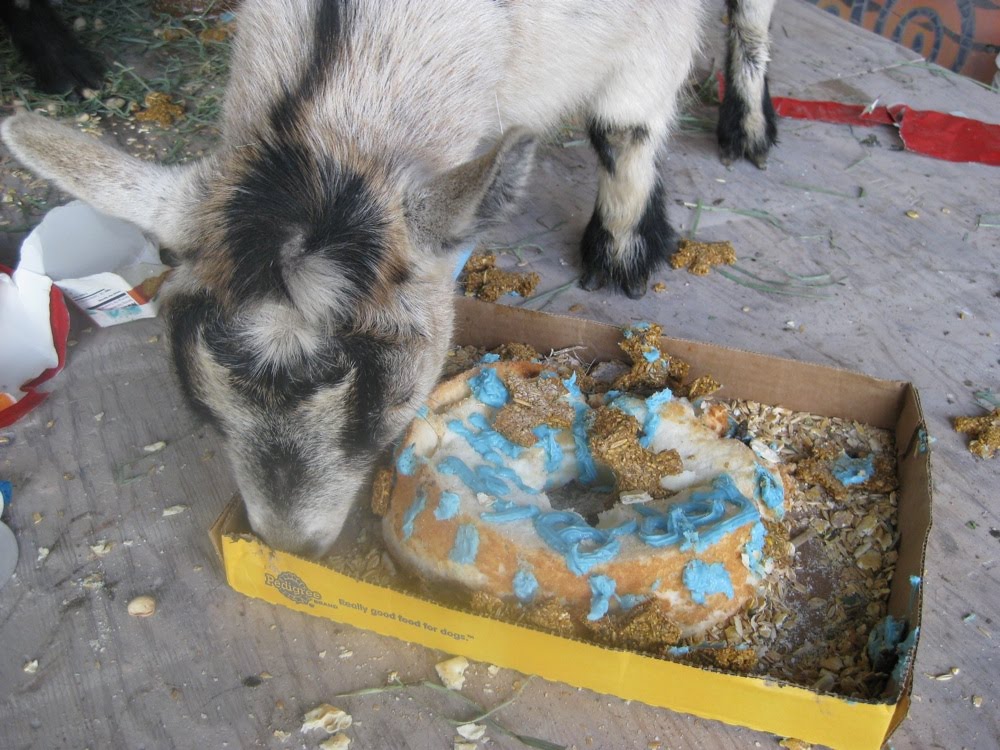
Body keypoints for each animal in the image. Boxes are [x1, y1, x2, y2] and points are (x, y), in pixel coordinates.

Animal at [1, 0, 777, 557]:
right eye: (201, 408)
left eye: (388, 403)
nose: (293, 545)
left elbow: (624, 126)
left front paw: (623, 252)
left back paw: (748, 125)